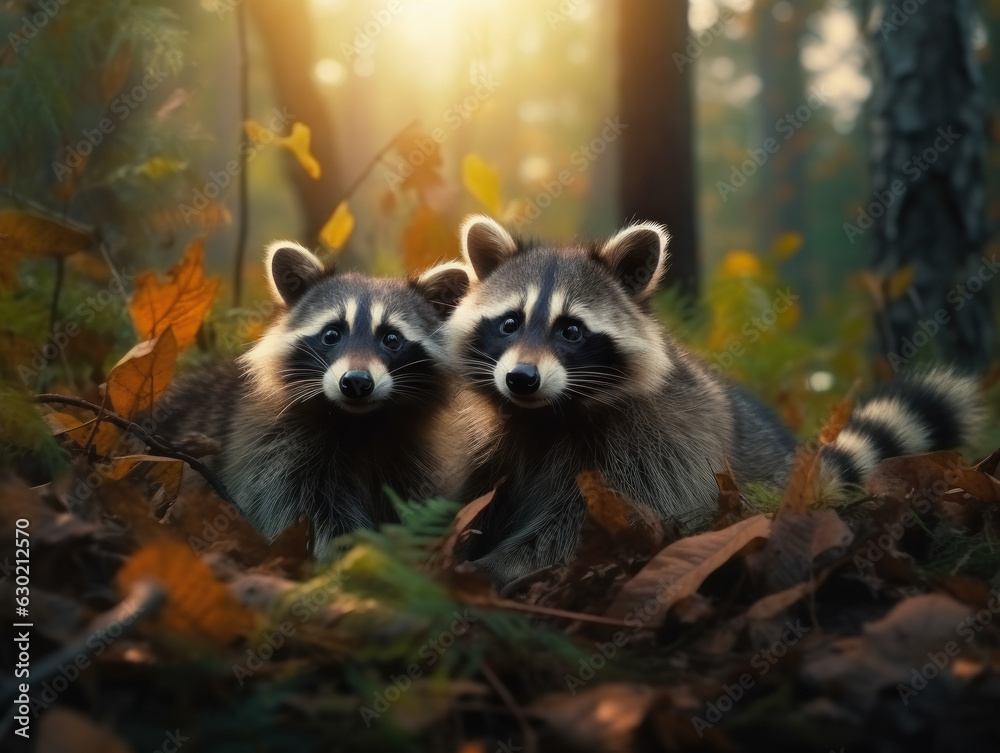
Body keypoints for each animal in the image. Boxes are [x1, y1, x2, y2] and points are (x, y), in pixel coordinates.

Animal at [158, 241, 470, 553]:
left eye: (392, 339)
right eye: (332, 334)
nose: (356, 382)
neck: (360, 424)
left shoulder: (414, 455)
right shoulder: (275, 452)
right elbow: (300, 510)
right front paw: (339, 550)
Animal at [446, 215, 983, 586]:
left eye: (571, 331)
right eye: (510, 323)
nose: (521, 379)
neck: (545, 415)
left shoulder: (653, 446)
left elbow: (599, 520)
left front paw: (500, 564)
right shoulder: (494, 438)